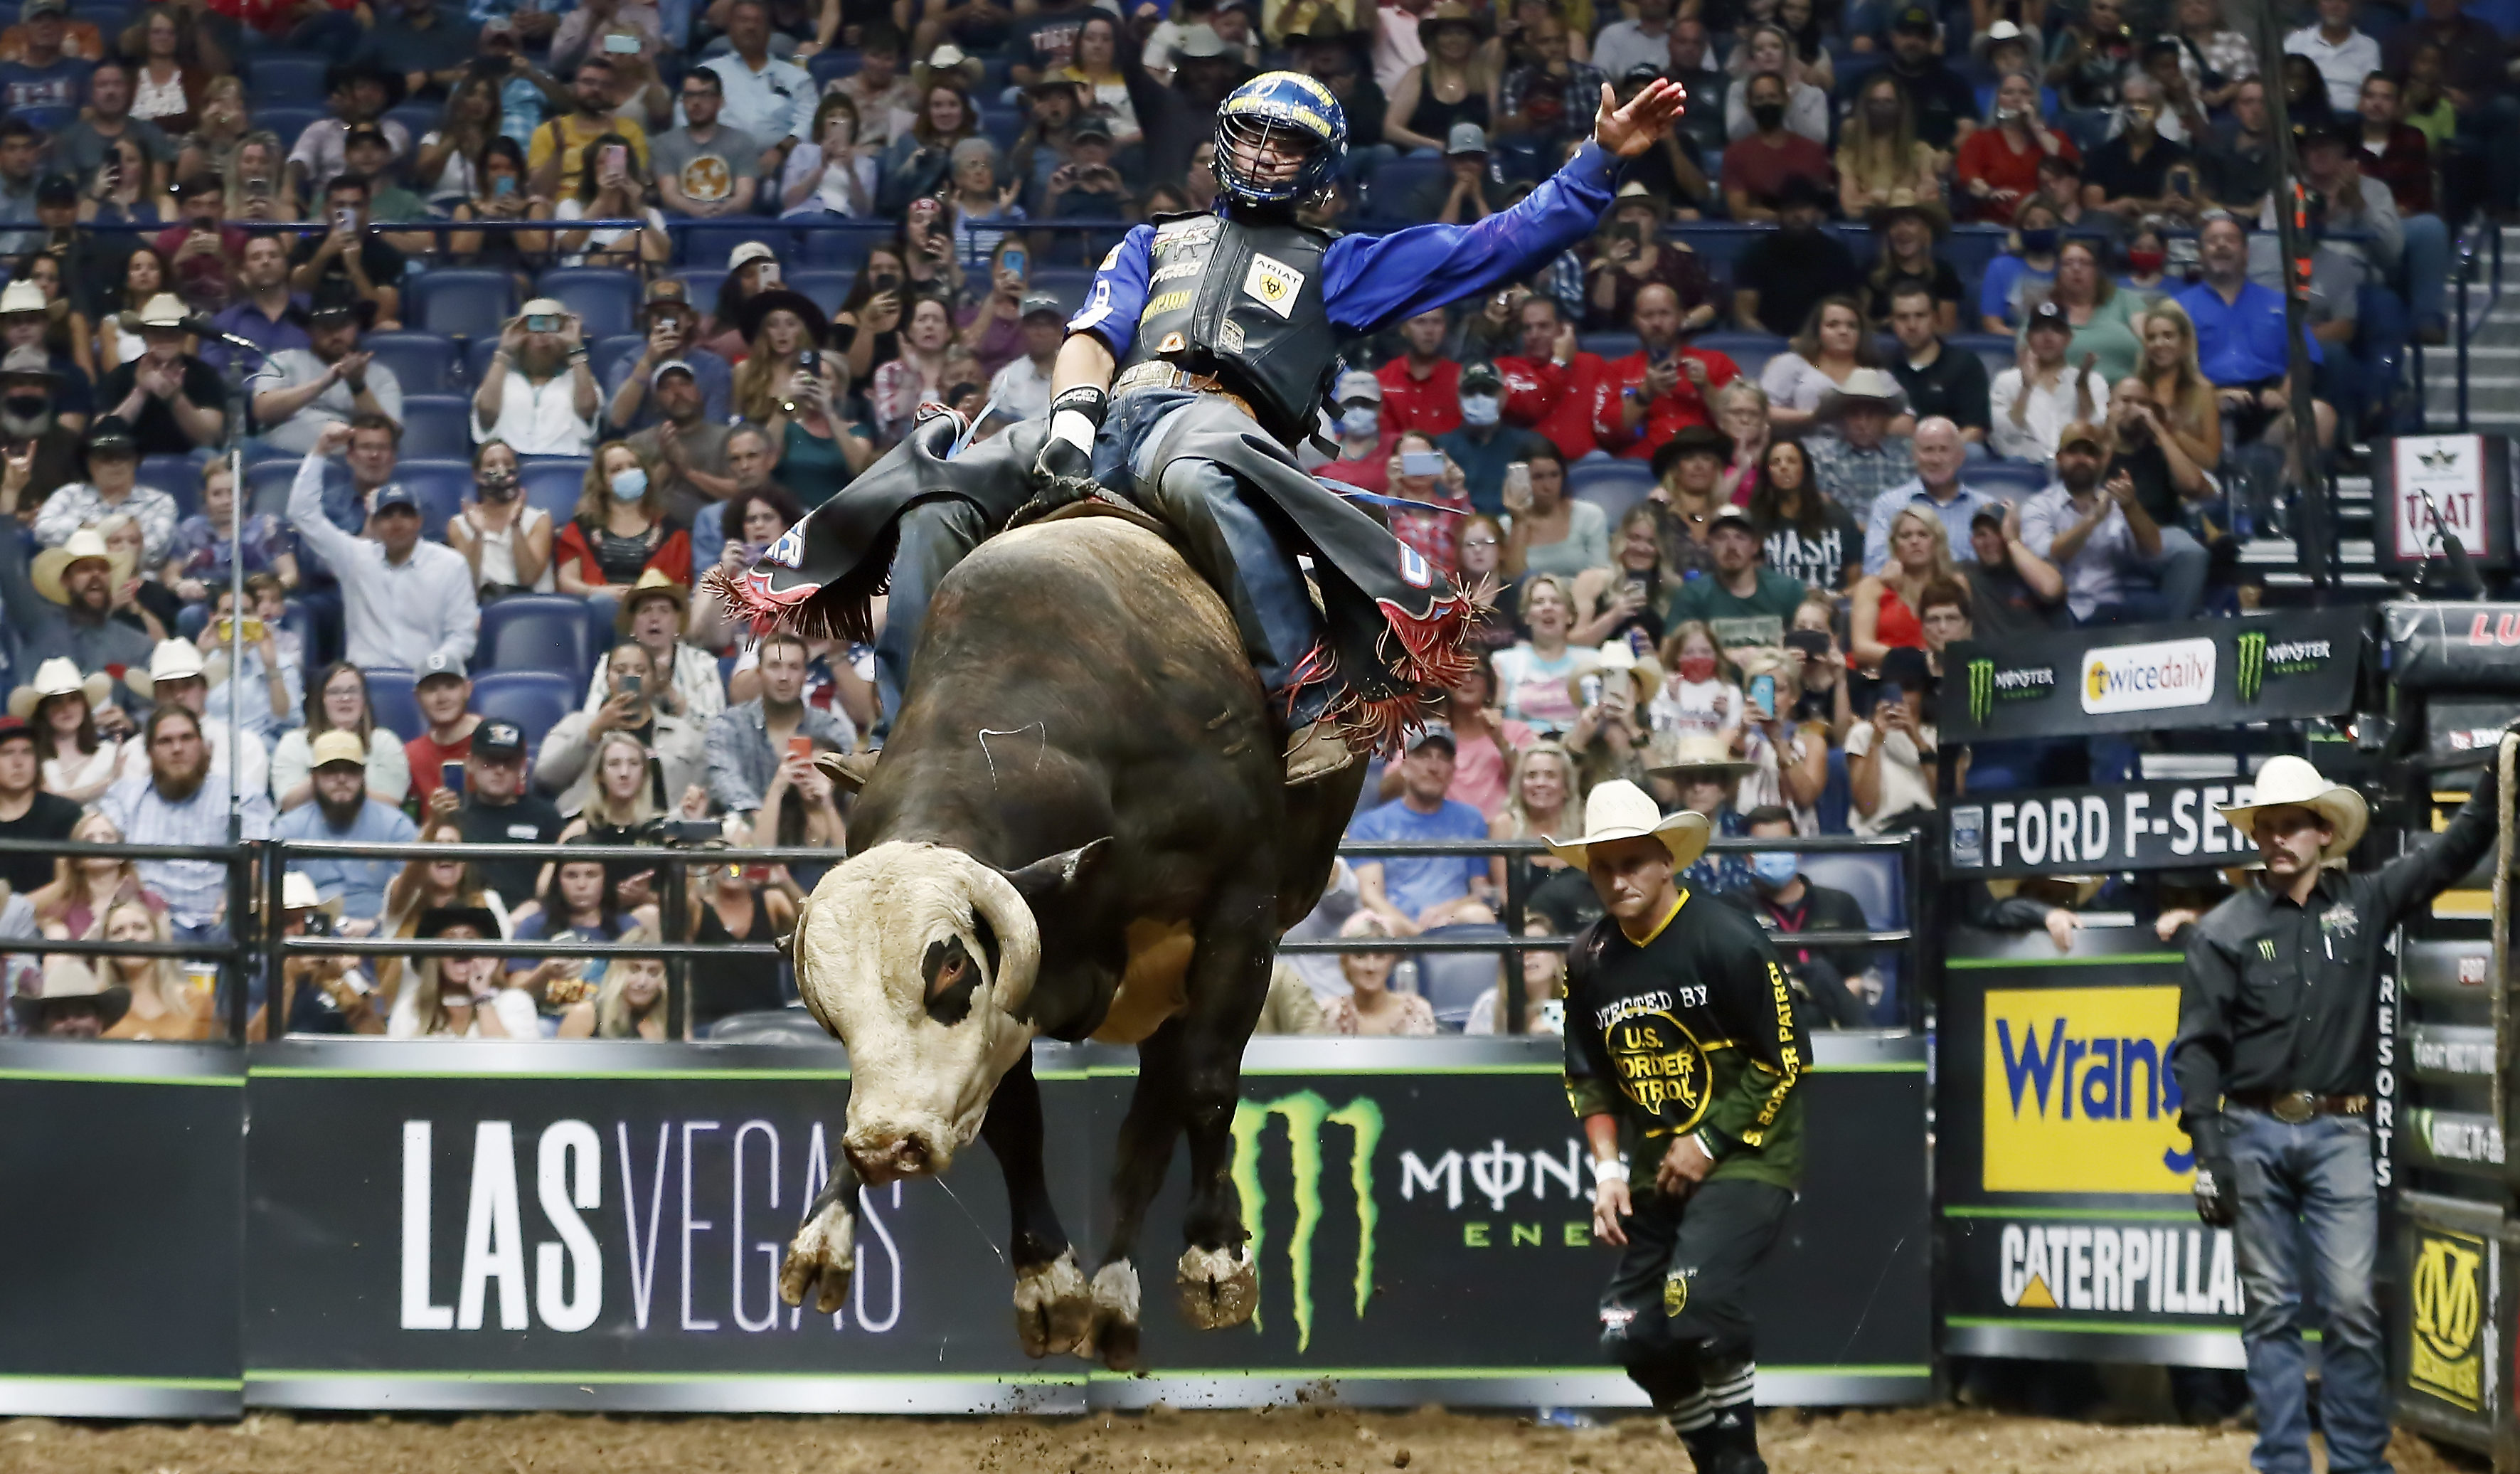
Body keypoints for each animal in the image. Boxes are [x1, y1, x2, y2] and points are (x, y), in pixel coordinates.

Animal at [774, 508, 1365, 1368]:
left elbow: (1207, 1084)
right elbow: (1015, 1118)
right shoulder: (1021, 983)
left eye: (949, 971)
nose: (887, 1148)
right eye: (830, 1011)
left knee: (1155, 1120)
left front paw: (1215, 1259)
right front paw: (1048, 1282)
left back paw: (1125, 1291)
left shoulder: (1240, 915)